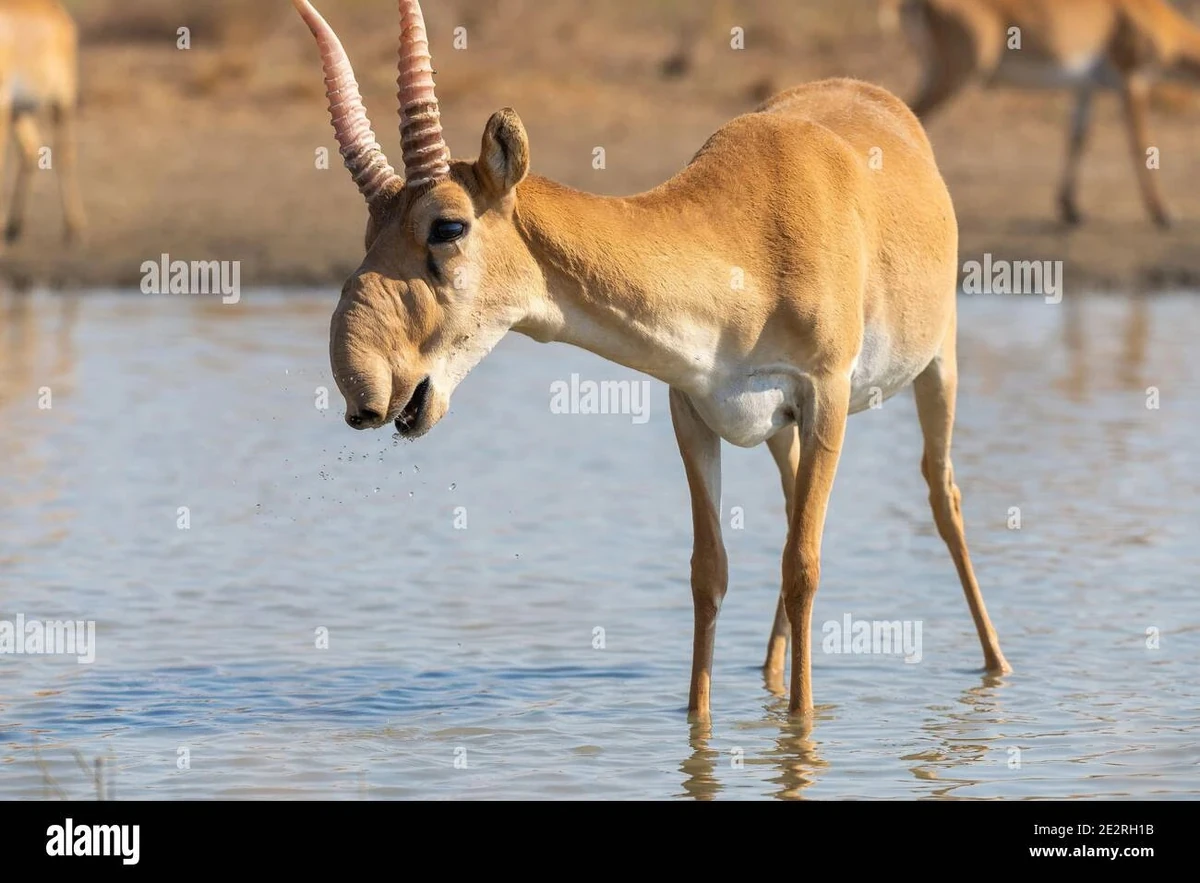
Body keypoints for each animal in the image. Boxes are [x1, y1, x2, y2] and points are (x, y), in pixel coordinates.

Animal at [0, 0, 85, 246]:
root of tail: (58, 12)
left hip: (61, 102)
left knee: (65, 154)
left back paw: (74, 230)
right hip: (19, 113)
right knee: (31, 149)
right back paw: (13, 228)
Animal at [294, 0, 1011, 719]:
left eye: (448, 225)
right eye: (370, 230)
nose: (365, 390)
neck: (749, 241)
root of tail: (882, 102)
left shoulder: (825, 395)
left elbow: (804, 565)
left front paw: (801, 723)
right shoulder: (691, 409)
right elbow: (708, 570)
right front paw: (699, 720)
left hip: (935, 368)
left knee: (942, 495)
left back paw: (995, 665)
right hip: (782, 429)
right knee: (792, 508)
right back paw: (769, 671)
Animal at [883, 0, 1200, 227]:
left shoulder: (1084, 88)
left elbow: (1078, 137)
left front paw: (1071, 210)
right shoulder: (1132, 79)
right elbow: (1141, 144)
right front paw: (1164, 213)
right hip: (954, 74)